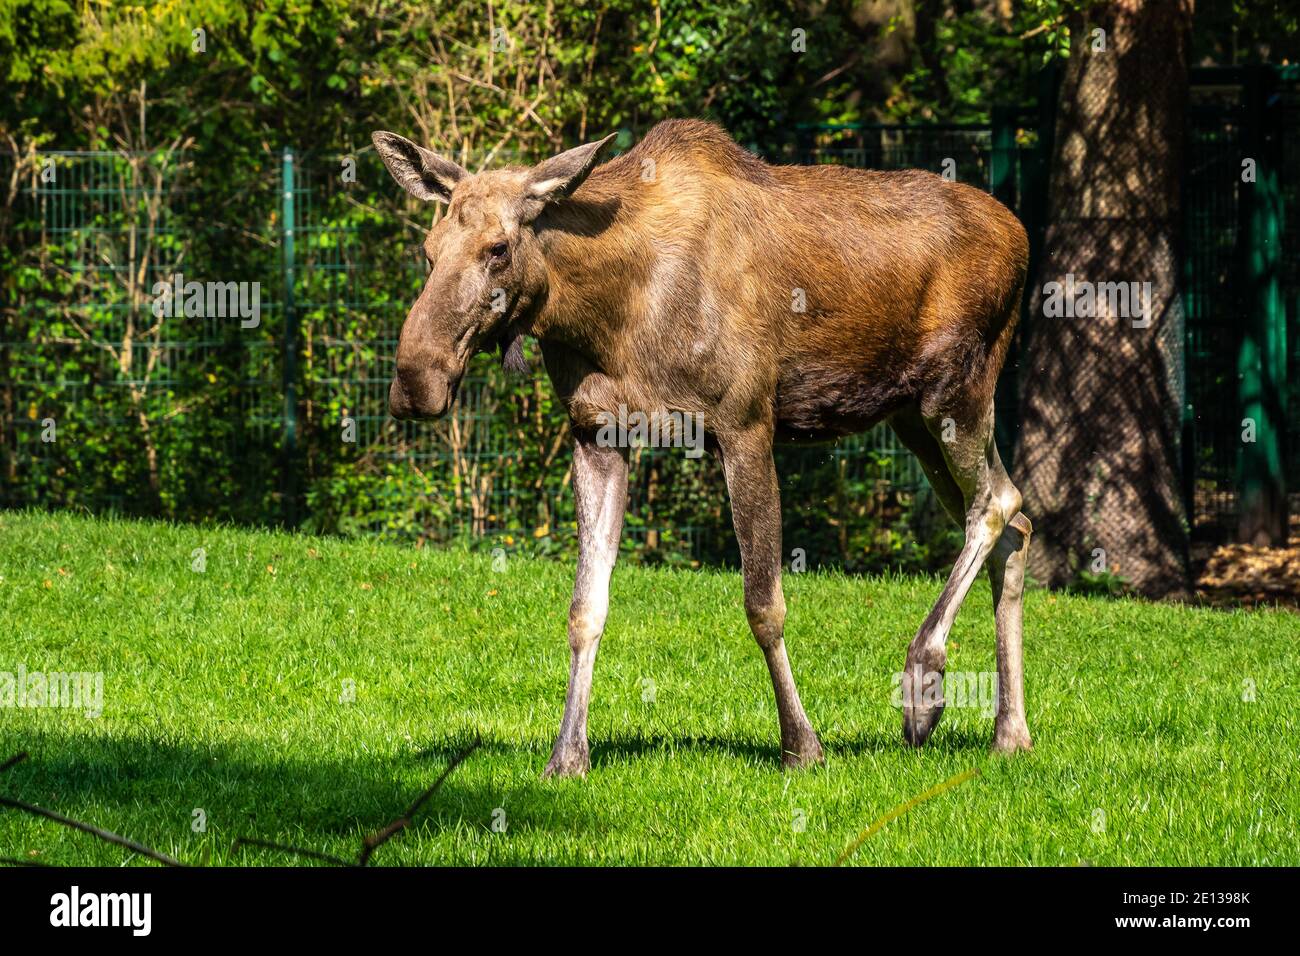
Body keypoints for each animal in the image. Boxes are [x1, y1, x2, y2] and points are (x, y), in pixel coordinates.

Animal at [372, 119, 1033, 778]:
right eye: (429, 250)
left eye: (499, 249)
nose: (415, 382)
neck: (606, 315)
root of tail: (1022, 237)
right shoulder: (596, 434)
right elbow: (585, 608)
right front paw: (568, 755)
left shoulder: (745, 424)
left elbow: (764, 605)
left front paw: (802, 744)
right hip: (912, 418)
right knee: (1016, 521)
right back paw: (1010, 731)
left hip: (956, 392)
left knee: (998, 504)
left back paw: (925, 681)